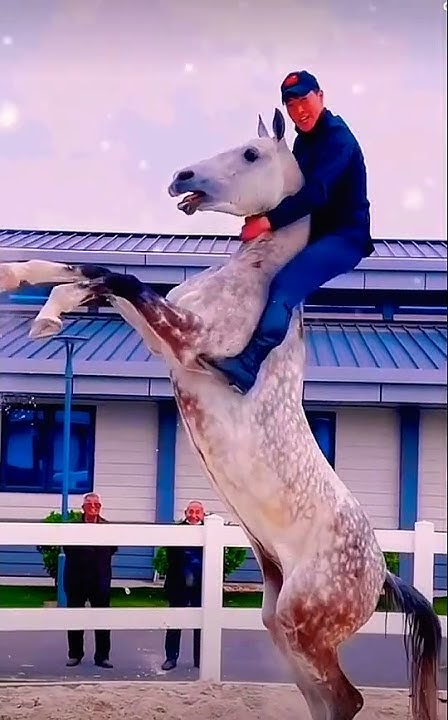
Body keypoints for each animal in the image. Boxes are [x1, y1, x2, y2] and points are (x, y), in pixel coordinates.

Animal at [0, 109, 442, 720]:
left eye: (251, 154)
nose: (180, 178)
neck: (252, 281)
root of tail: (381, 572)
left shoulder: (184, 340)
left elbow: (119, 279)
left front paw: (41, 309)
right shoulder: (162, 339)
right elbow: (91, 276)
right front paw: (35, 302)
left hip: (302, 624)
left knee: (346, 699)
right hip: (280, 625)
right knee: (327, 700)